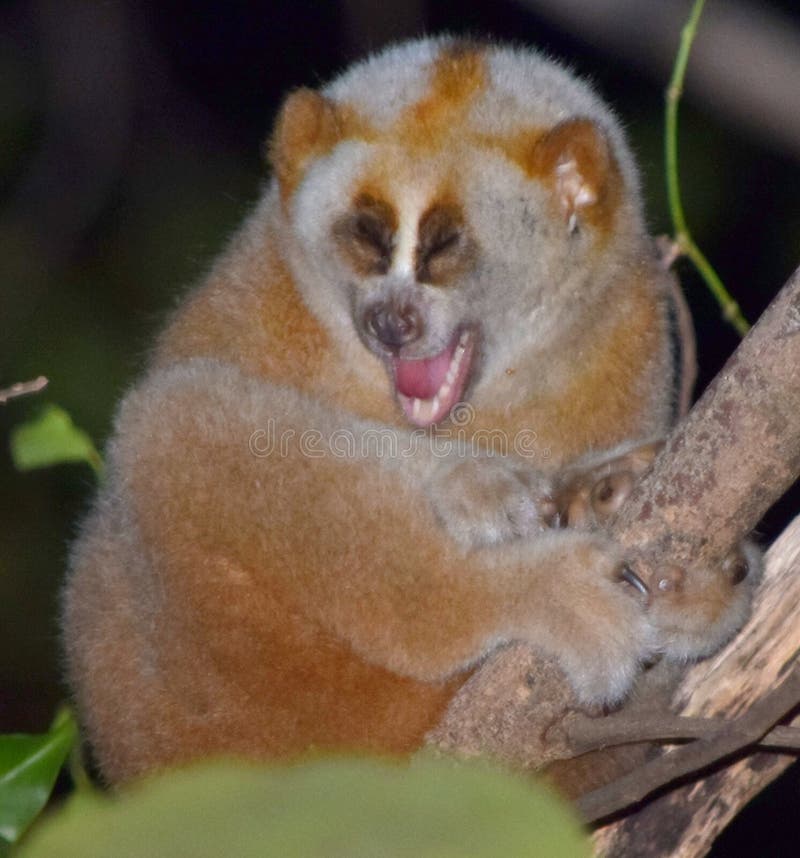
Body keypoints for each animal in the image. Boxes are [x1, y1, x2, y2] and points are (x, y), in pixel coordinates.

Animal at [62, 37, 759, 787]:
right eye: (366, 235)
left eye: (446, 246)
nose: (390, 321)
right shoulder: (253, 292)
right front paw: (477, 484)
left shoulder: (631, 323)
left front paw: (655, 544)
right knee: (170, 426)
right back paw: (538, 587)